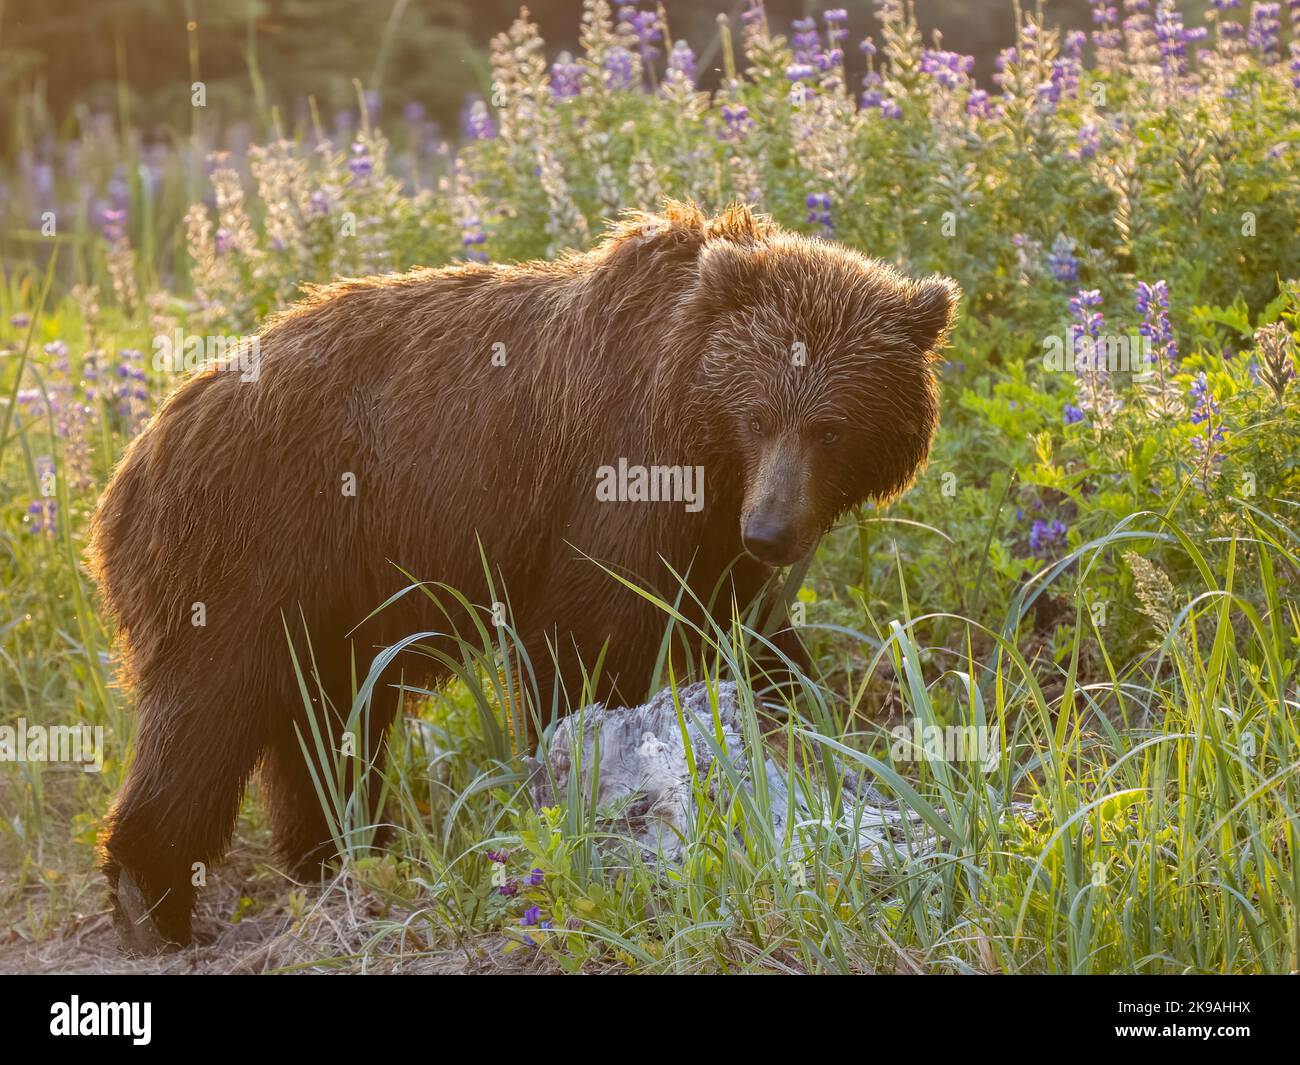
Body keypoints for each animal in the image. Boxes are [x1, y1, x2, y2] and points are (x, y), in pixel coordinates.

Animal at [88, 200, 958, 950]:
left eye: (832, 427)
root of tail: (133, 459)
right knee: (210, 709)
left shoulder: (710, 535)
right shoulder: (615, 477)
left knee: (326, 718)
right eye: (757, 416)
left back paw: (342, 851)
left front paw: (815, 725)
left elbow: (748, 634)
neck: (696, 429)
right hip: (251, 548)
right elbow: (581, 637)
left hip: (329, 596)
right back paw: (153, 897)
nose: (772, 530)